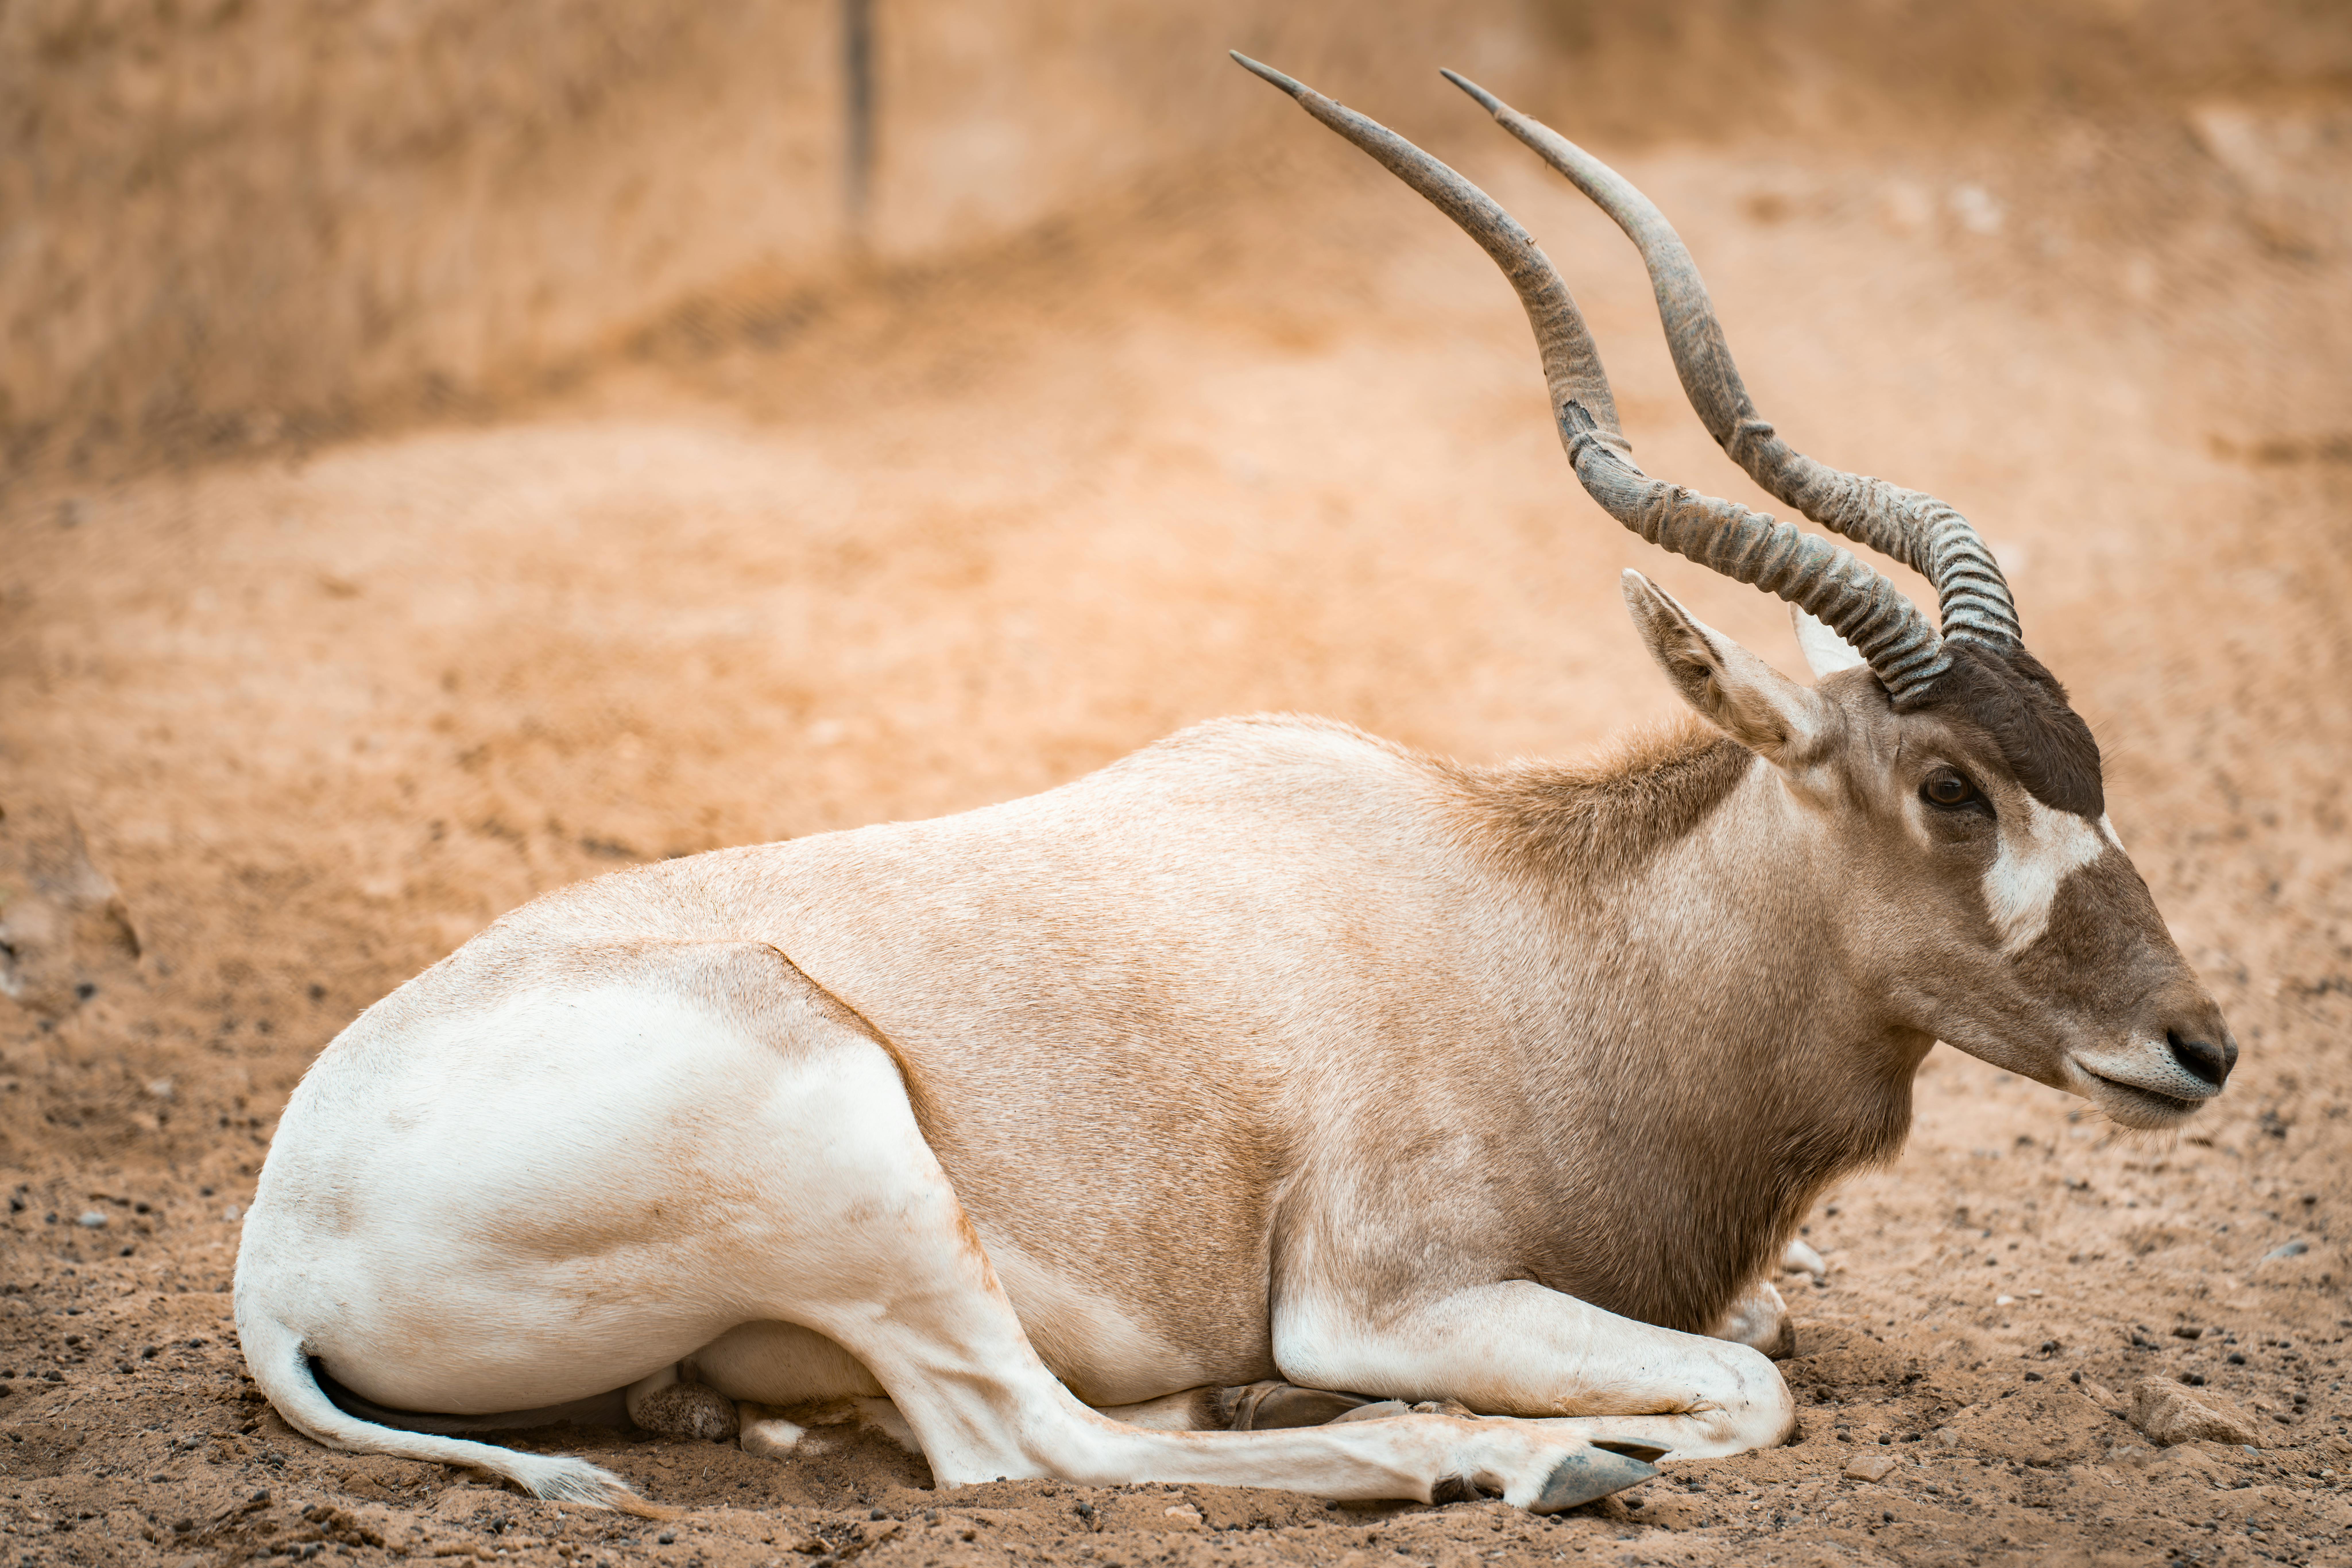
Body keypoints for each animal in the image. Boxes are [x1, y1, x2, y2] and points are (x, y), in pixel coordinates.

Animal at [233, 57, 2237, 1516]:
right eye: (1952, 786)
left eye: (2079, 751)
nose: (2198, 1047)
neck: (1547, 925)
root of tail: (279, 1244)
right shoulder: (1395, 1286)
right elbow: (1750, 1382)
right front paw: (1550, 1437)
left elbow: (1765, 1332)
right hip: (847, 1140)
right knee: (1026, 1446)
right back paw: (1481, 1455)